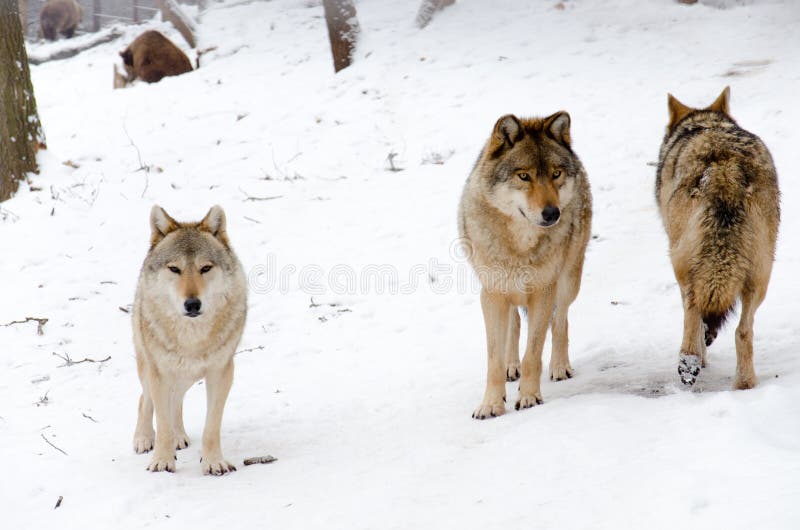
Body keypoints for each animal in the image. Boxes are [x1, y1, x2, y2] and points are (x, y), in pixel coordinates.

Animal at [132, 205, 247, 474]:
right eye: (175, 269)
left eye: (205, 268)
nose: (192, 304)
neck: (191, 338)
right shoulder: (160, 373)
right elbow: (162, 424)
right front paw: (162, 461)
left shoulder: (221, 373)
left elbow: (211, 427)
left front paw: (213, 461)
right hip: (150, 368)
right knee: (145, 400)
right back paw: (143, 438)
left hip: (187, 376)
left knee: (176, 400)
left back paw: (179, 436)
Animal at [458, 112, 593, 419]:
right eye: (524, 176)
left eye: (555, 174)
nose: (552, 213)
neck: (519, 247)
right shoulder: (492, 294)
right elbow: (494, 360)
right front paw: (491, 404)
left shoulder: (543, 292)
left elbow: (534, 353)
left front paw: (530, 397)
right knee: (515, 322)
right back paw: (512, 367)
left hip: (568, 282)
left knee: (561, 321)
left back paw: (559, 366)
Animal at [656, 87, 780, 389]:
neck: (705, 123)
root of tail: (725, 172)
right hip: (760, 275)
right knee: (743, 331)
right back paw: (745, 384)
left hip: (682, 263)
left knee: (692, 308)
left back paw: (689, 363)